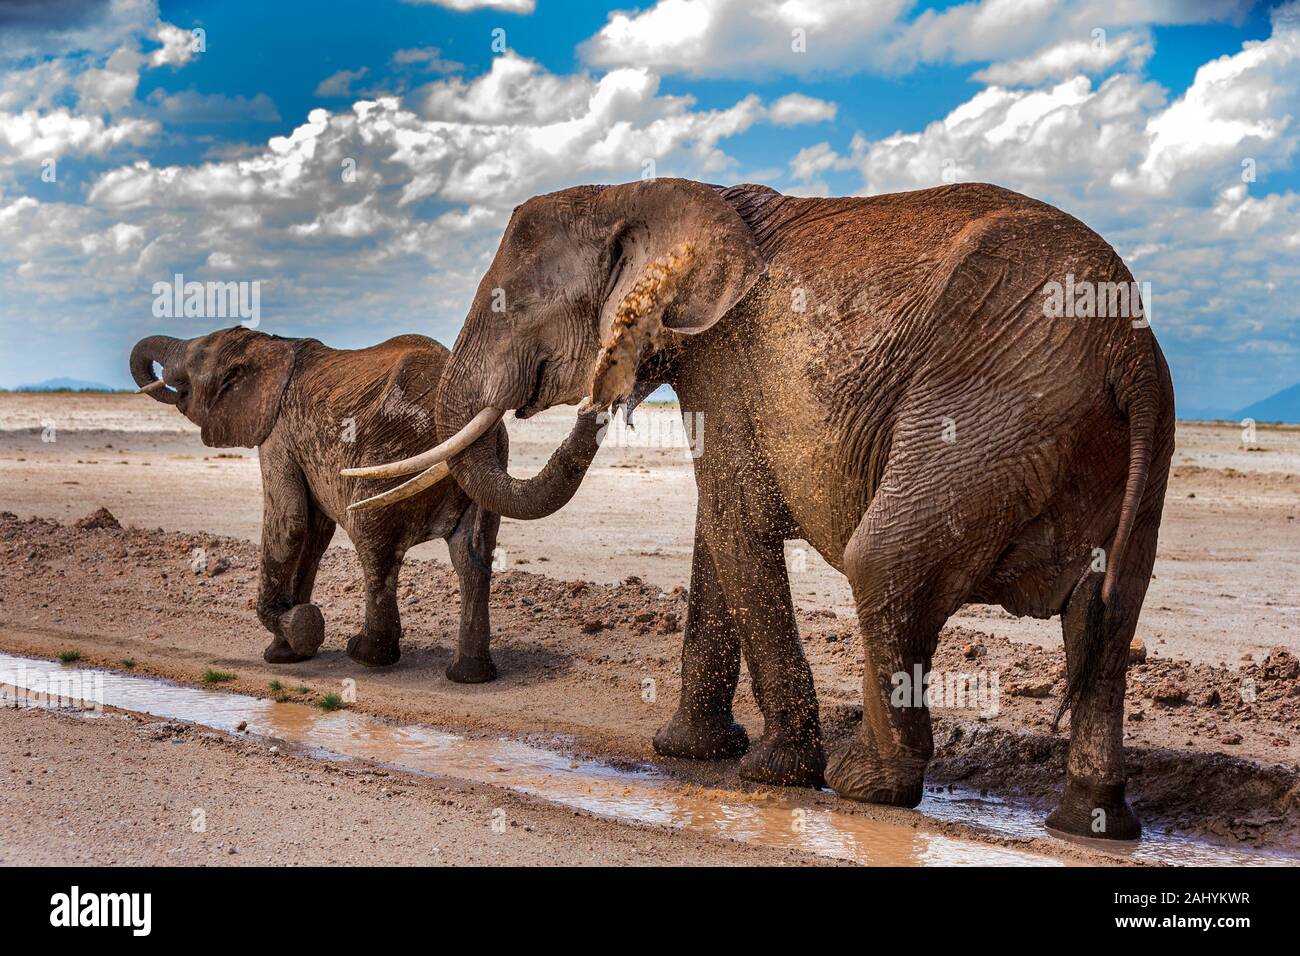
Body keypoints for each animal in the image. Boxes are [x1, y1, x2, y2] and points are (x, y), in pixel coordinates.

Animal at [130, 326, 507, 682]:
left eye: (192, 365)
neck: (269, 344)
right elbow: (313, 532)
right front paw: (289, 651)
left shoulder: (277, 432)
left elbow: (289, 521)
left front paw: (294, 633)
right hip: (482, 464)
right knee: (471, 556)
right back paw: (469, 675)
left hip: (392, 453)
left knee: (375, 547)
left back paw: (366, 655)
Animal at [347, 178, 1175, 840]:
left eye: (505, 303)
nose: (600, 394)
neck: (640, 192)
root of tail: (1127, 352)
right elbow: (716, 539)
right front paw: (688, 753)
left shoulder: (727, 361)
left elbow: (733, 526)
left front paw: (773, 773)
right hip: (1121, 437)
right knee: (1106, 617)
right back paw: (1092, 822)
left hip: (987, 410)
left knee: (883, 562)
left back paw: (864, 785)